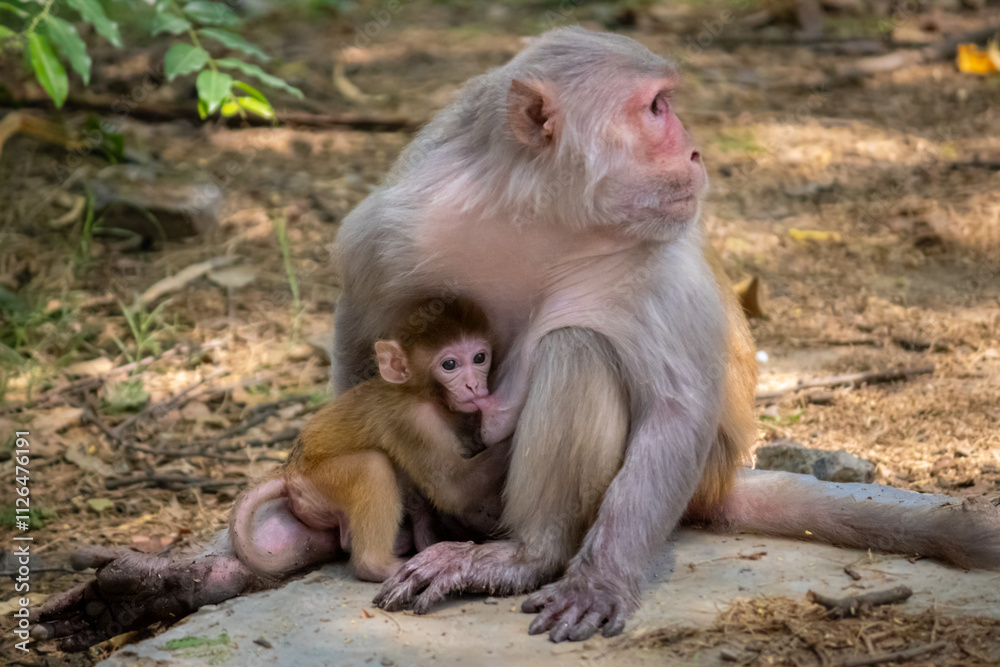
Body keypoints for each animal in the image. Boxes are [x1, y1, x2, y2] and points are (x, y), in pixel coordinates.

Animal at [229, 296, 507, 583]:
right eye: (449, 365)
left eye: (479, 358)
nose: (474, 385)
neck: (425, 394)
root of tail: (289, 468)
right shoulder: (414, 420)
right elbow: (451, 489)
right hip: (319, 482)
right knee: (373, 466)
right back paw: (378, 565)